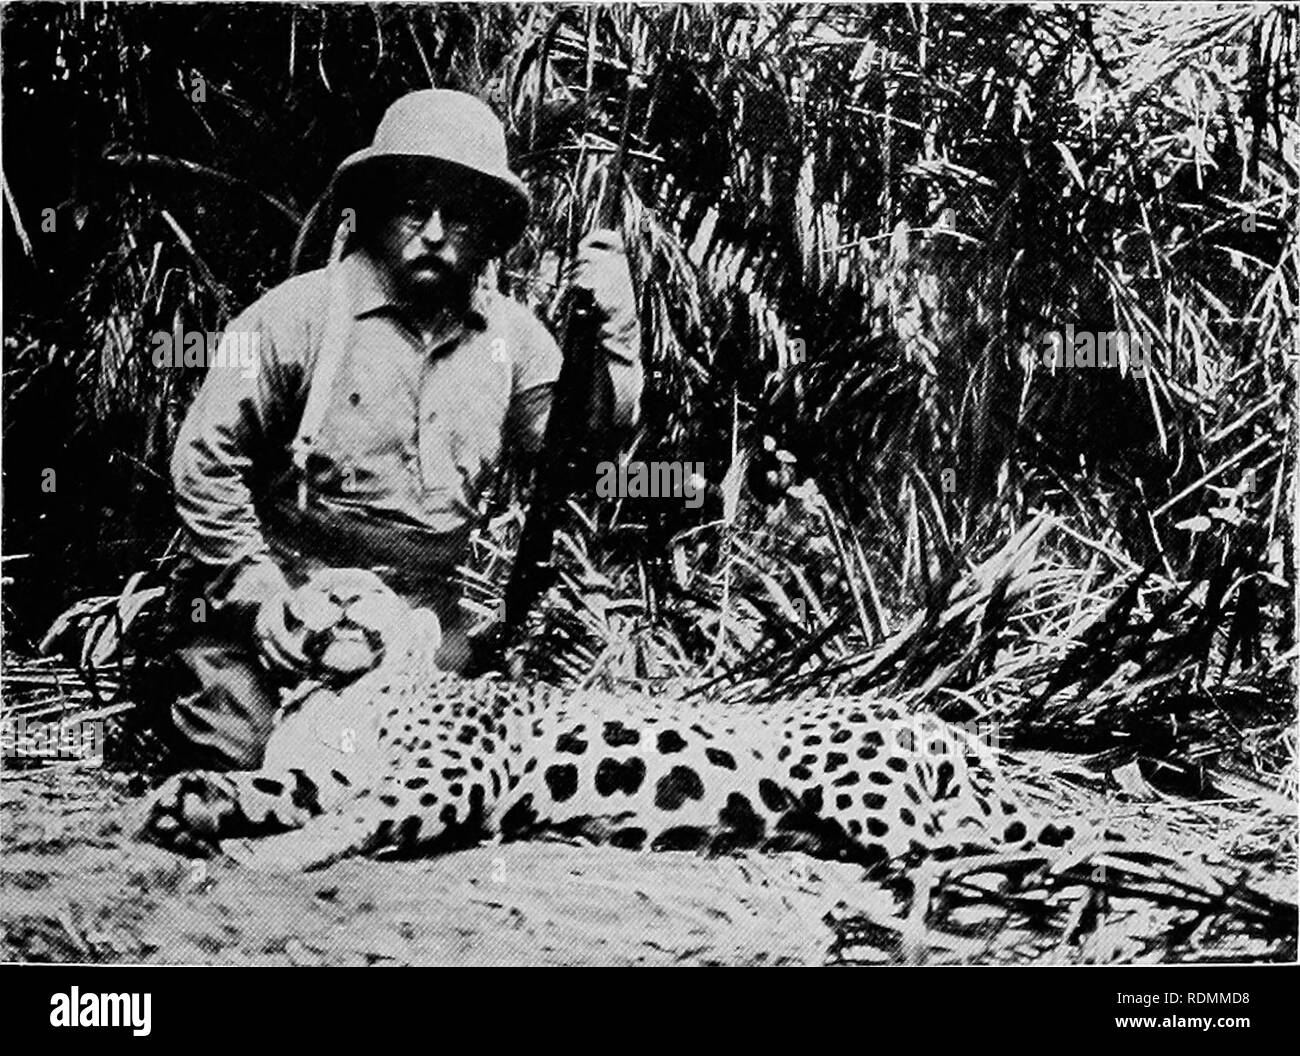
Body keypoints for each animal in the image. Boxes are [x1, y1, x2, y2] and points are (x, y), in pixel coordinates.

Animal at [138, 568, 1077, 873]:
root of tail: (942, 724)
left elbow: (357, 813)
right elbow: (266, 786)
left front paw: (265, 854)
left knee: (971, 844)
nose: (337, 599)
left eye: (369, 589)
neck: (337, 690)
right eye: (315, 588)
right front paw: (186, 803)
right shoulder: (322, 768)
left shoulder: (446, 771)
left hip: (853, 776)